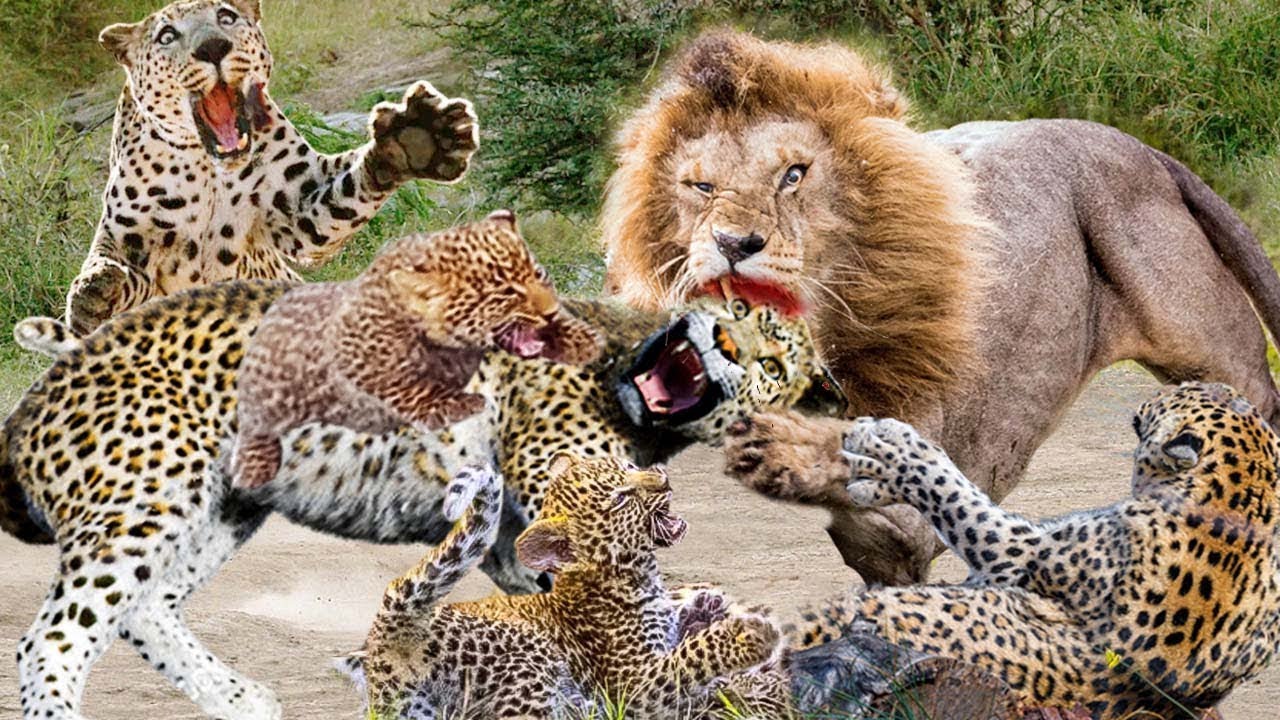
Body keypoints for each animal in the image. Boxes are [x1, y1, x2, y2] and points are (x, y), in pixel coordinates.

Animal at [13, 0, 477, 351]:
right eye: (167, 36)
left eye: (226, 17)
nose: (213, 47)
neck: (206, 171)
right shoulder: (130, 238)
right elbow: (109, 266)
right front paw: (93, 296)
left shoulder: (299, 202)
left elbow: (347, 187)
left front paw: (417, 137)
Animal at [231, 210, 601, 489]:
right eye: (507, 294)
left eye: (539, 275)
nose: (550, 311)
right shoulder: (356, 354)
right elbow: (408, 385)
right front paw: (458, 403)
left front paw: (581, 339)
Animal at [343, 453, 784, 720]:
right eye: (621, 498)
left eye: (629, 464)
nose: (663, 477)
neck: (634, 575)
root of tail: (396, 622)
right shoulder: (635, 685)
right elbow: (688, 657)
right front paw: (747, 634)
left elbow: (678, 623)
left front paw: (706, 603)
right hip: (529, 654)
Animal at [600, 30, 1280, 586]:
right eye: (701, 187)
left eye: (794, 175)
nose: (734, 243)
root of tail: (1143, 150)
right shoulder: (883, 544)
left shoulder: (911, 500)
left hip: (1210, 354)